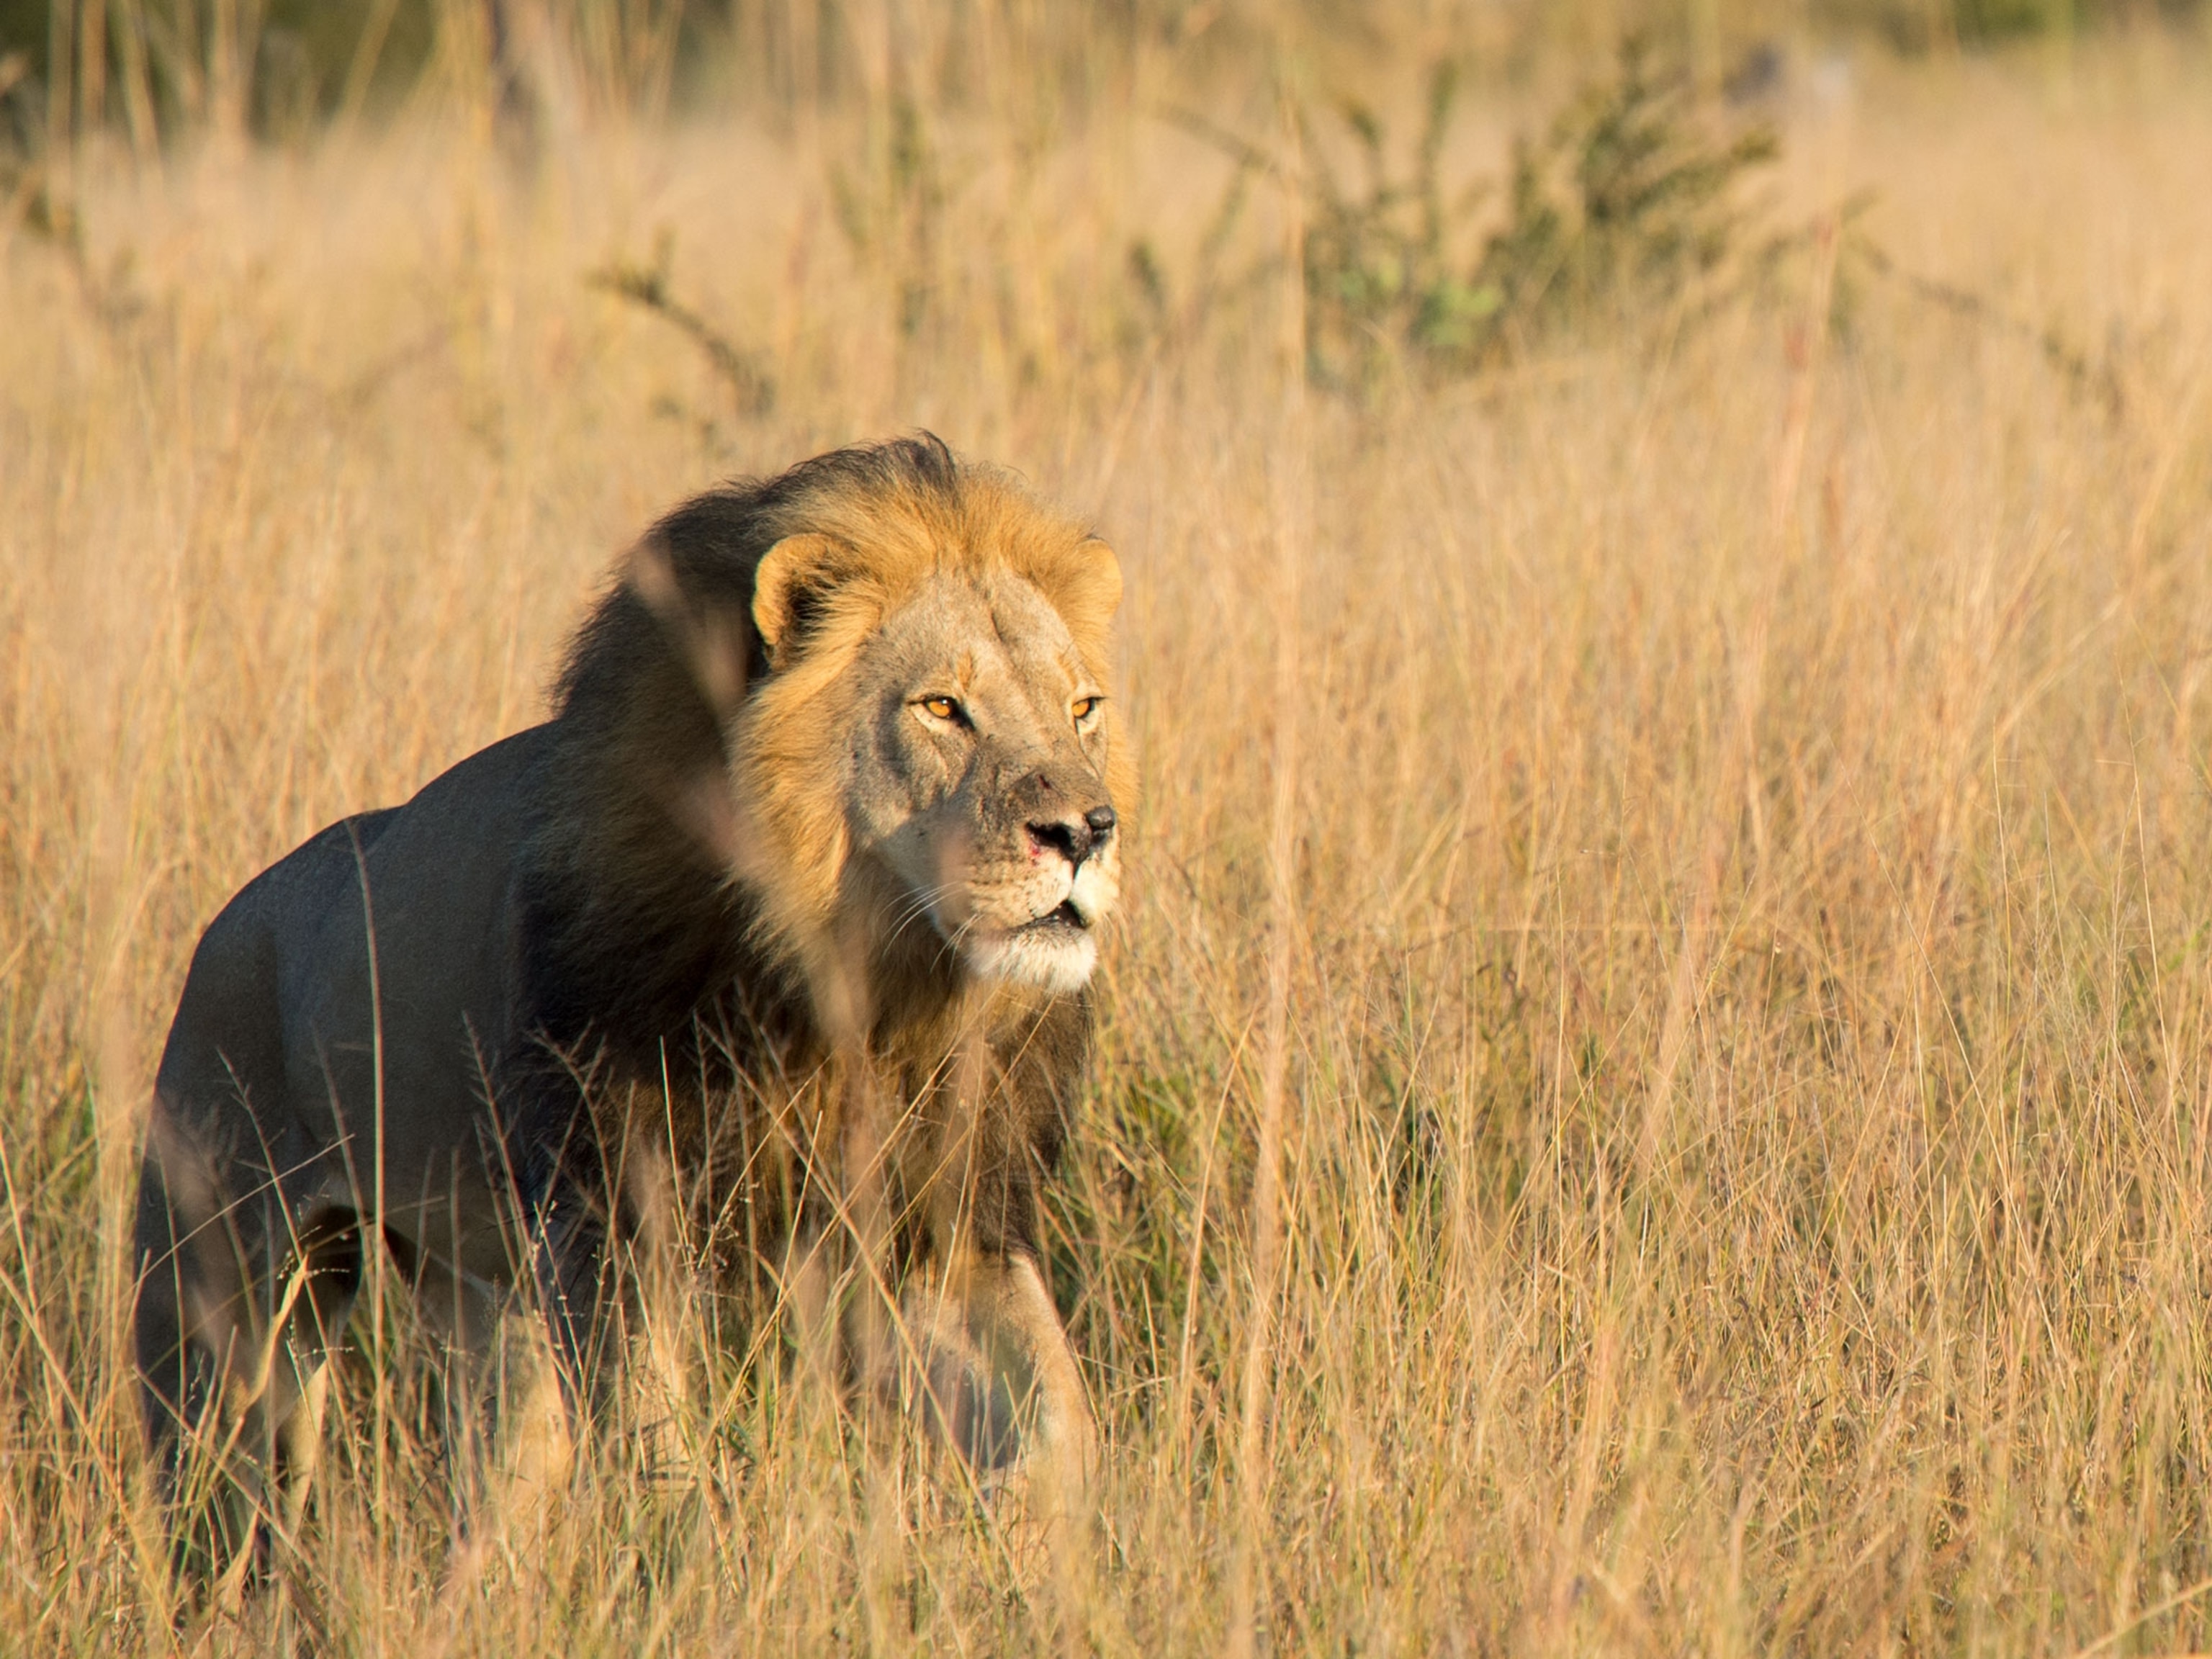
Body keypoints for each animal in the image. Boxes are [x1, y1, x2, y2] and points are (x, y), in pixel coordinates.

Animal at [133, 435, 1131, 1569]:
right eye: (941, 708)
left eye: (1082, 707)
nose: (1086, 831)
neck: (856, 980)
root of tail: (229, 921)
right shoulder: (615, 1220)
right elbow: (656, 1448)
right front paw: (702, 1565)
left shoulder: (939, 1223)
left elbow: (1056, 1419)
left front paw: (1040, 1554)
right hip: (223, 1297)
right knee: (219, 1479)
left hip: (486, 1307)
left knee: (499, 1485)